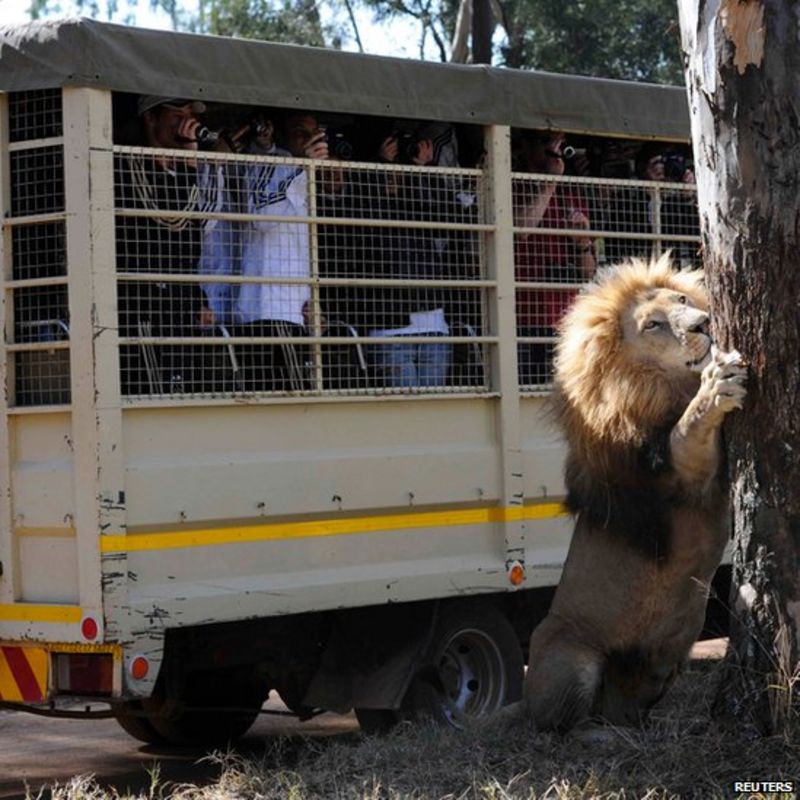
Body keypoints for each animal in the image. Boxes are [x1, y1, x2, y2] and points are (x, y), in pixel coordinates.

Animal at [524, 254, 746, 732]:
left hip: (662, 668)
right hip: (572, 657)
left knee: (621, 712)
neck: (660, 385)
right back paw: (597, 736)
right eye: (654, 325)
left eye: (682, 300)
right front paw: (716, 384)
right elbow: (690, 426)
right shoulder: (671, 471)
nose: (704, 323)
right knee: (560, 727)